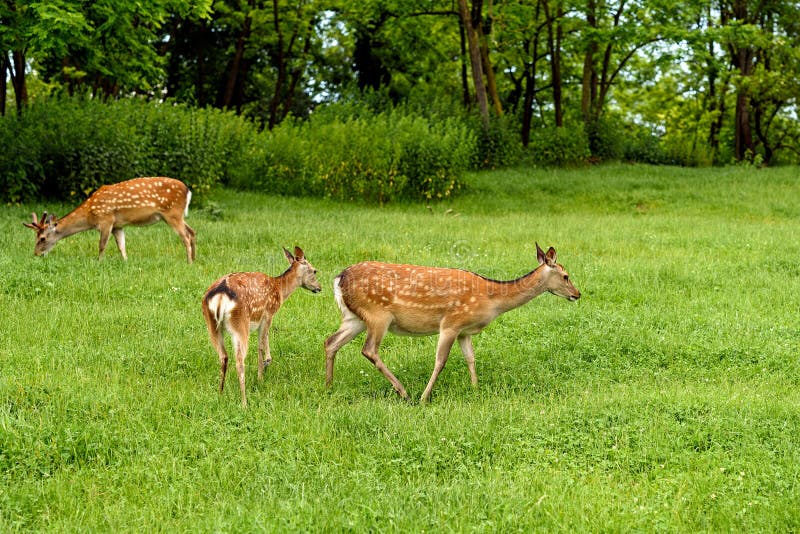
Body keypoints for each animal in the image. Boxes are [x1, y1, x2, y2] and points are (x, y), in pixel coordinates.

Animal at [23, 177, 197, 263]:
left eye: (42, 238)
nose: (36, 254)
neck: (90, 215)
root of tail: (188, 191)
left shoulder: (106, 220)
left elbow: (102, 245)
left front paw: (99, 262)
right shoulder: (118, 225)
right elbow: (121, 246)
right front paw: (126, 262)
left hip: (173, 213)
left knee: (186, 237)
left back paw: (188, 262)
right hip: (175, 215)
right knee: (192, 231)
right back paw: (194, 259)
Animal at [202, 246, 322, 408]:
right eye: (314, 271)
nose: (319, 288)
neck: (279, 290)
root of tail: (220, 296)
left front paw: (263, 370)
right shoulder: (268, 314)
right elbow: (261, 346)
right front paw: (261, 374)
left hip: (212, 325)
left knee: (223, 356)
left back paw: (220, 393)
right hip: (240, 325)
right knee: (239, 361)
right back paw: (244, 402)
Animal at [324, 243, 581, 403]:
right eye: (566, 276)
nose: (577, 294)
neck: (491, 300)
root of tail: (338, 279)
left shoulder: (464, 331)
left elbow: (471, 358)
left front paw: (476, 389)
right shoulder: (450, 323)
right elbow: (440, 361)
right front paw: (424, 398)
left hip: (355, 318)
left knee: (330, 341)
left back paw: (328, 386)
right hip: (378, 314)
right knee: (369, 349)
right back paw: (403, 392)